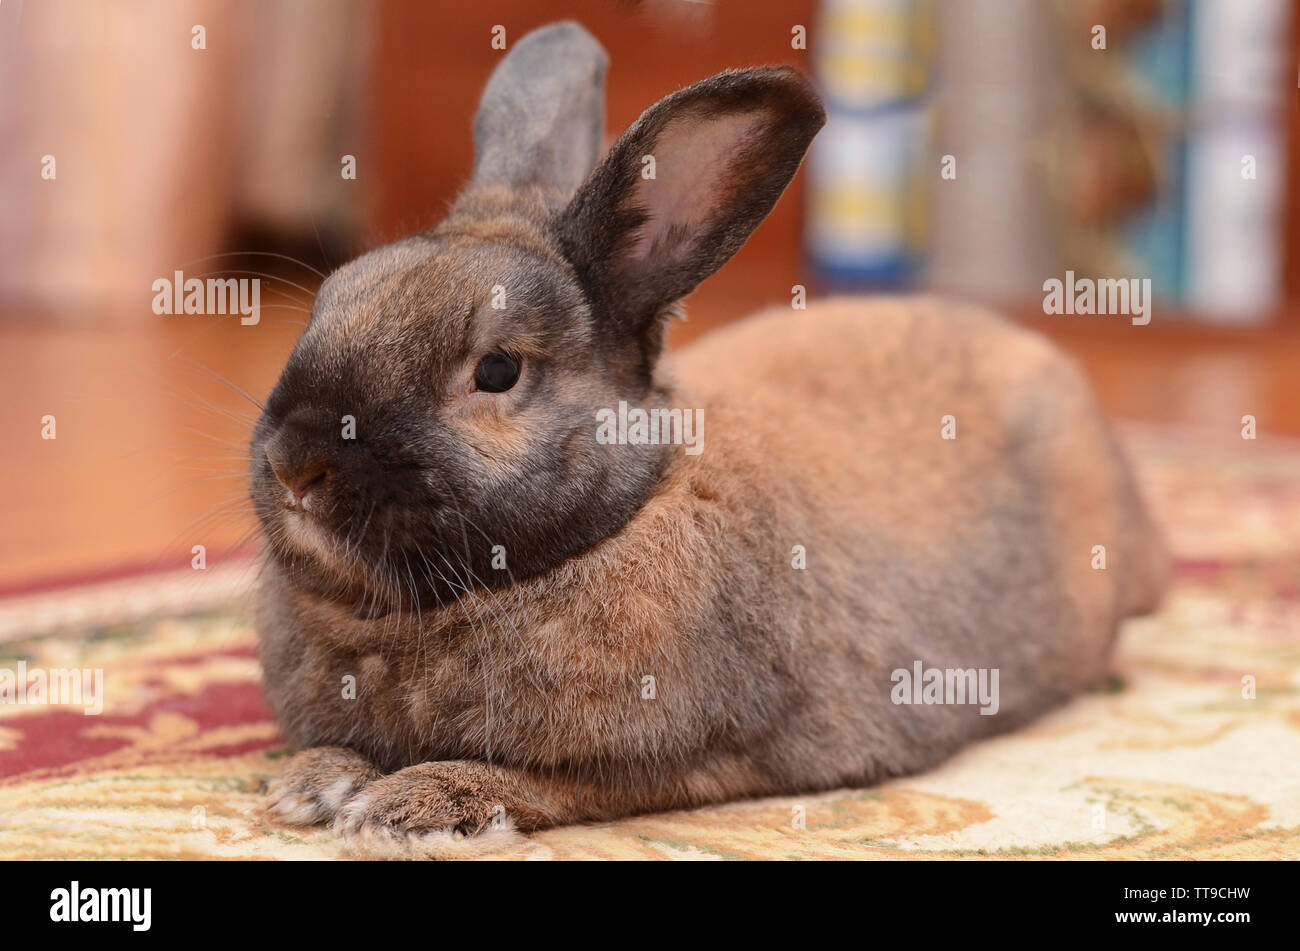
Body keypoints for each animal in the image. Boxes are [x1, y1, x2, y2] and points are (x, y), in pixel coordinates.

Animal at [252, 21, 1167, 858]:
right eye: (327, 300)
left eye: (498, 370)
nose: (296, 465)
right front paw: (310, 780)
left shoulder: (677, 760)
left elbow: (541, 783)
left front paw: (409, 804)